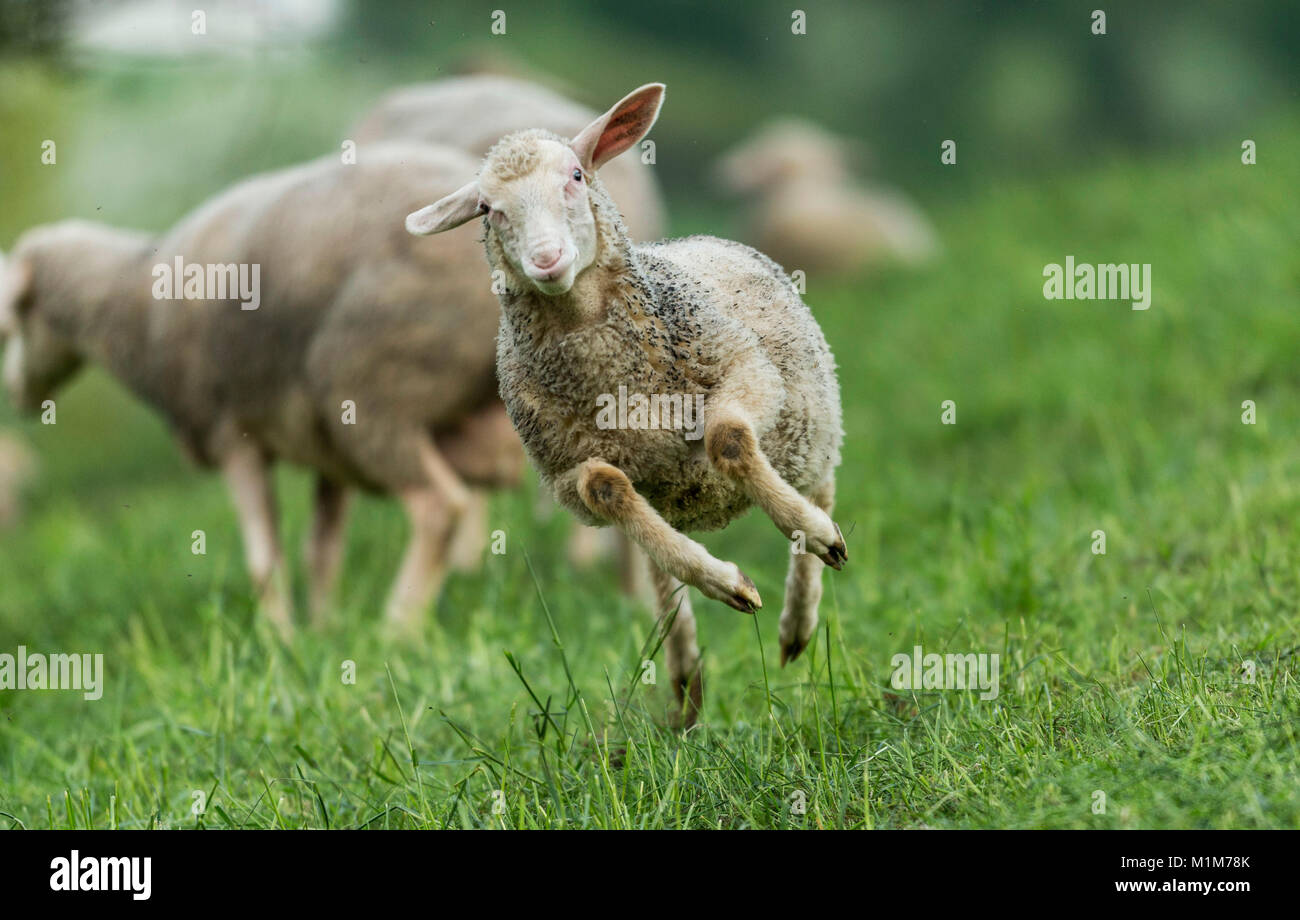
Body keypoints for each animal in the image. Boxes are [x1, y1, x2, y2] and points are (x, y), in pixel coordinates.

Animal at [0, 143, 524, 636]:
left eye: (13, 324)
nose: (14, 394)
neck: (137, 313)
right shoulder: (327, 450)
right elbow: (321, 549)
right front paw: (323, 631)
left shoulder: (234, 436)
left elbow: (263, 561)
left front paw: (280, 641)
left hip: (369, 391)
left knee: (439, 507)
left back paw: (396, 631)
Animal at [407, 84, 848, 726]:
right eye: (488, 209)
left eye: (576, 175)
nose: (546, 259)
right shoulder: (562, 470)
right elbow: (606, 490)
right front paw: (727, 584)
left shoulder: (747, 371)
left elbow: (728, 439)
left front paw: (809, 535)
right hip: (671, 491)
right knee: (656, 566)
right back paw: (686, 679)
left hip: (809, 419)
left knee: (819, 488)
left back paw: (802, 601)